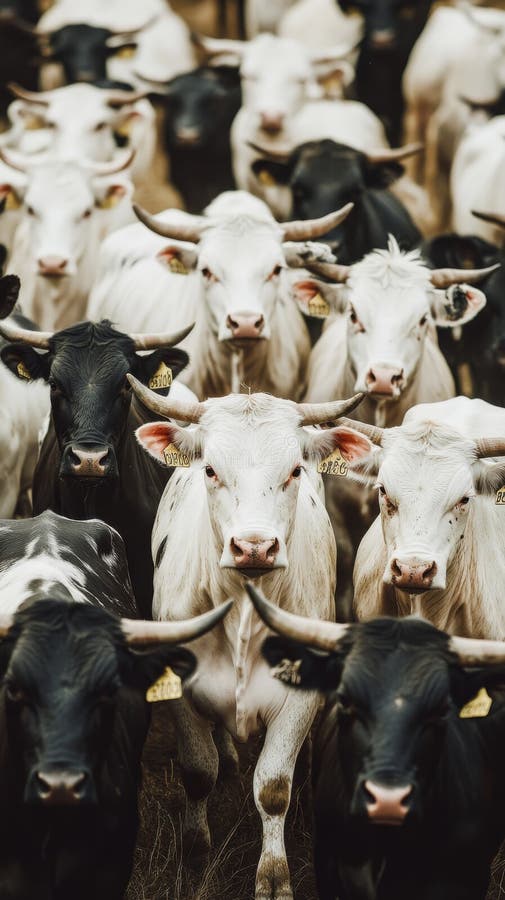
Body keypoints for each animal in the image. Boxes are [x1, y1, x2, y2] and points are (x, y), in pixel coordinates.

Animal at [128, 376, 372, 900]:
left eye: (295, 470)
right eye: (211, 470)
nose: (254, 547)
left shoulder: (301, 696)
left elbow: (274, 787)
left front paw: (273, 879)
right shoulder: (180, 687)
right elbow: (198, 773)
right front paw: (195, 859)